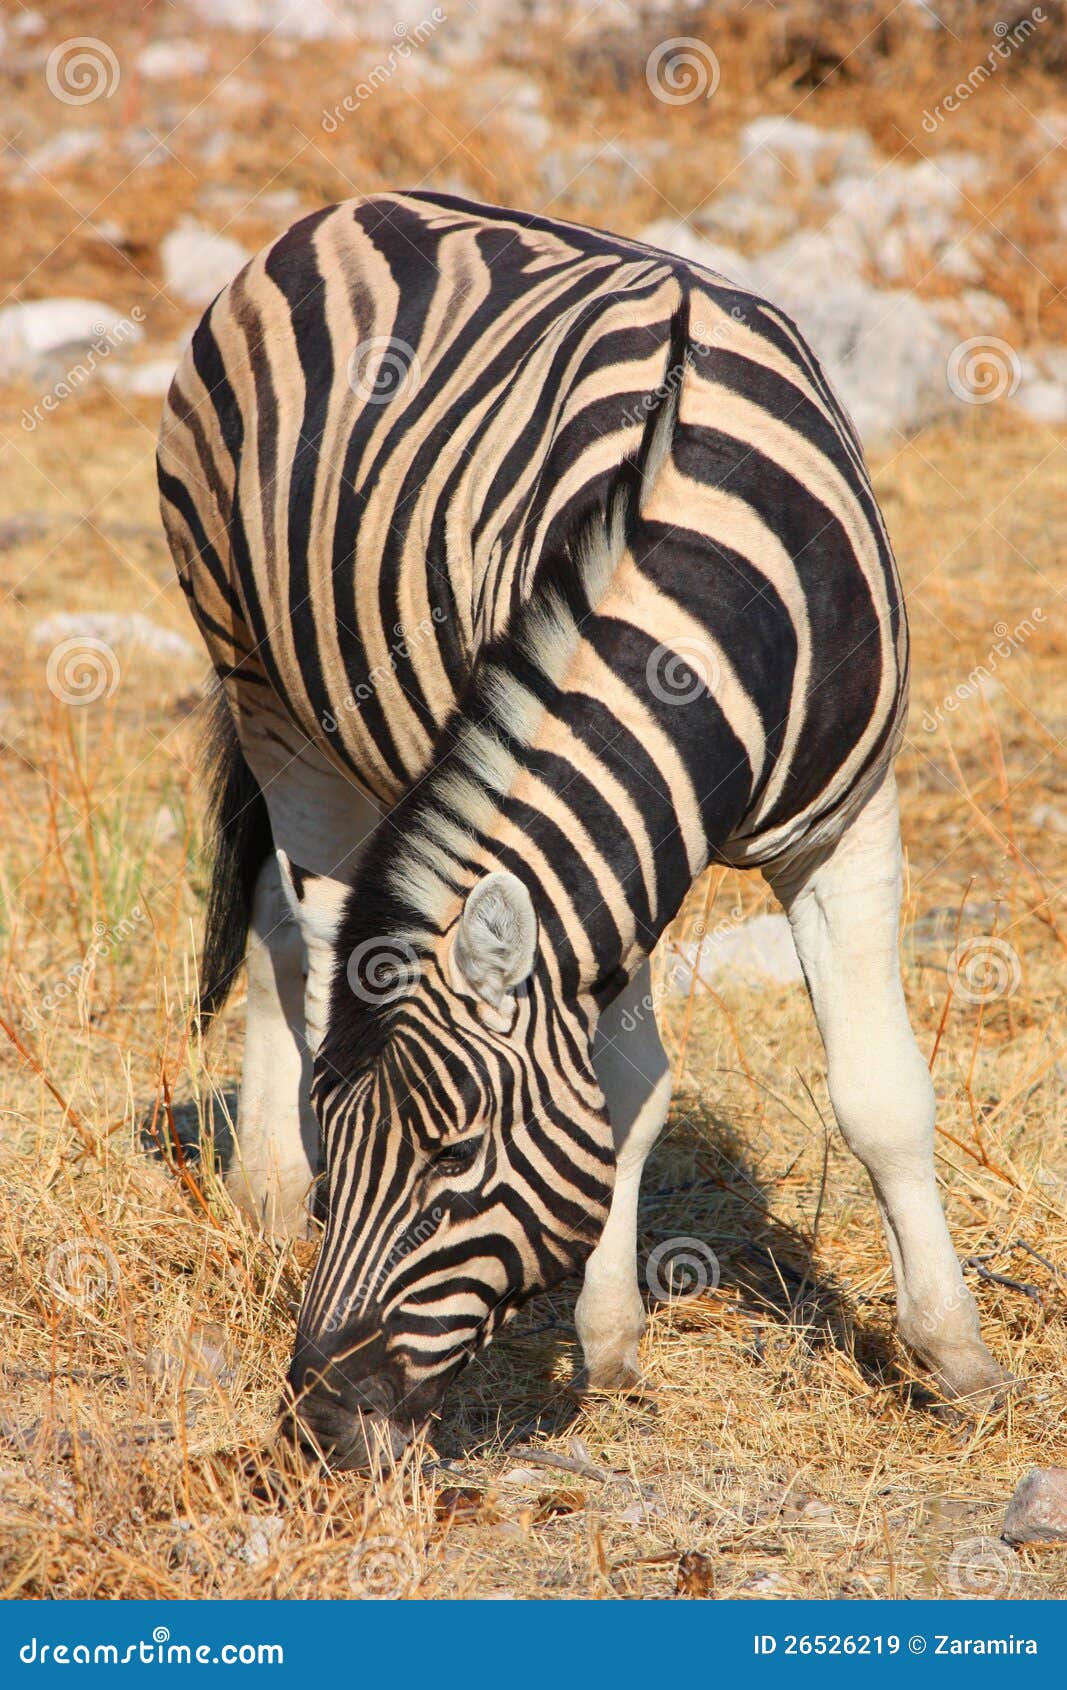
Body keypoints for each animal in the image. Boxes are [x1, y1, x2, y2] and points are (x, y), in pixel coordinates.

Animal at [157, 191, 1007, 1469]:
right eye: (353, 1153)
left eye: (454, 1156)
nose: (324, 1423)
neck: (694, 589)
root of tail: (334, 212)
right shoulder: (606, 861)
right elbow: (628, 1086)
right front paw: (608, 1337)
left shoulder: (846, 821)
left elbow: (882, 1094)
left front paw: (953, 1357)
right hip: (264, 688)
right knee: (302, 936)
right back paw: (268, 1191)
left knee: (281, 915)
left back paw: (262, 1195)